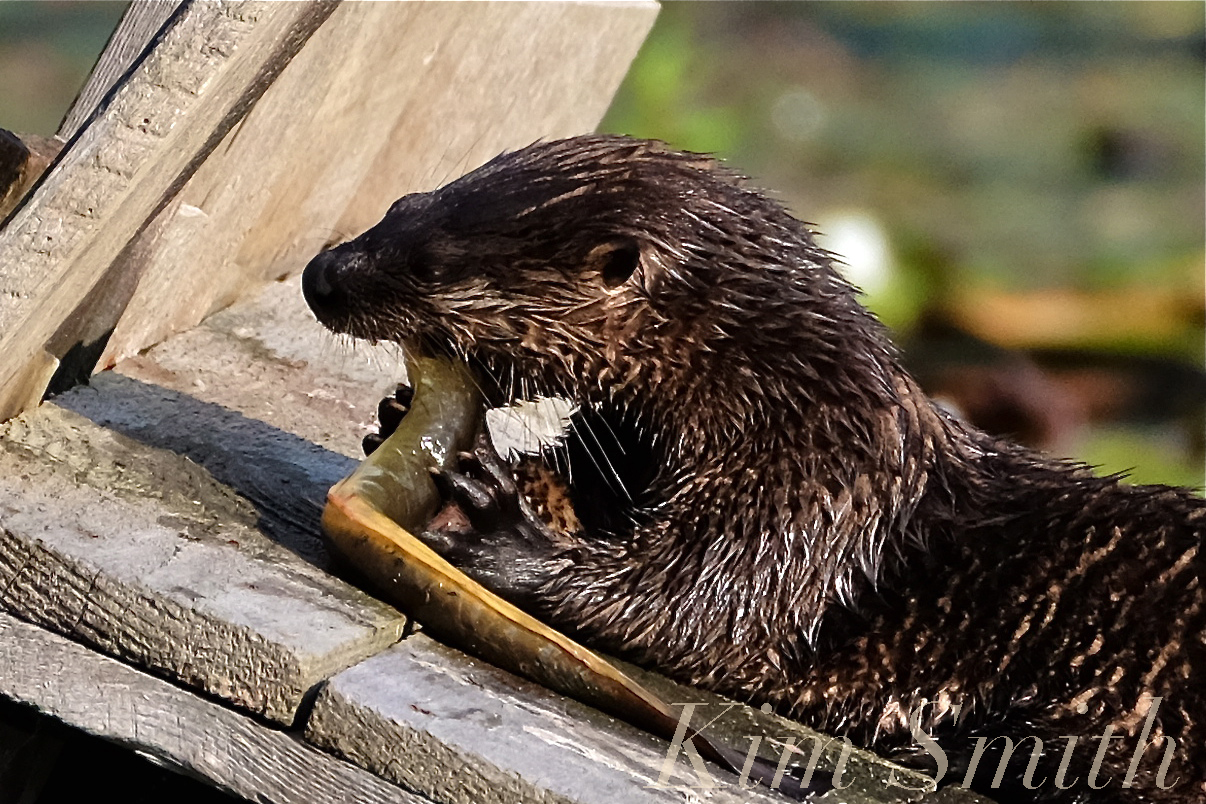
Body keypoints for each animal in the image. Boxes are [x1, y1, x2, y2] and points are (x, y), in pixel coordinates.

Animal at [302, 135, 1205, 803]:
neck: (775, 401)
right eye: (400, 206)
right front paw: (402, 424)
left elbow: (694, 609)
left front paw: (500, 530)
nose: (321, 275)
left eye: (431, 266)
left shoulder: (809, 499)